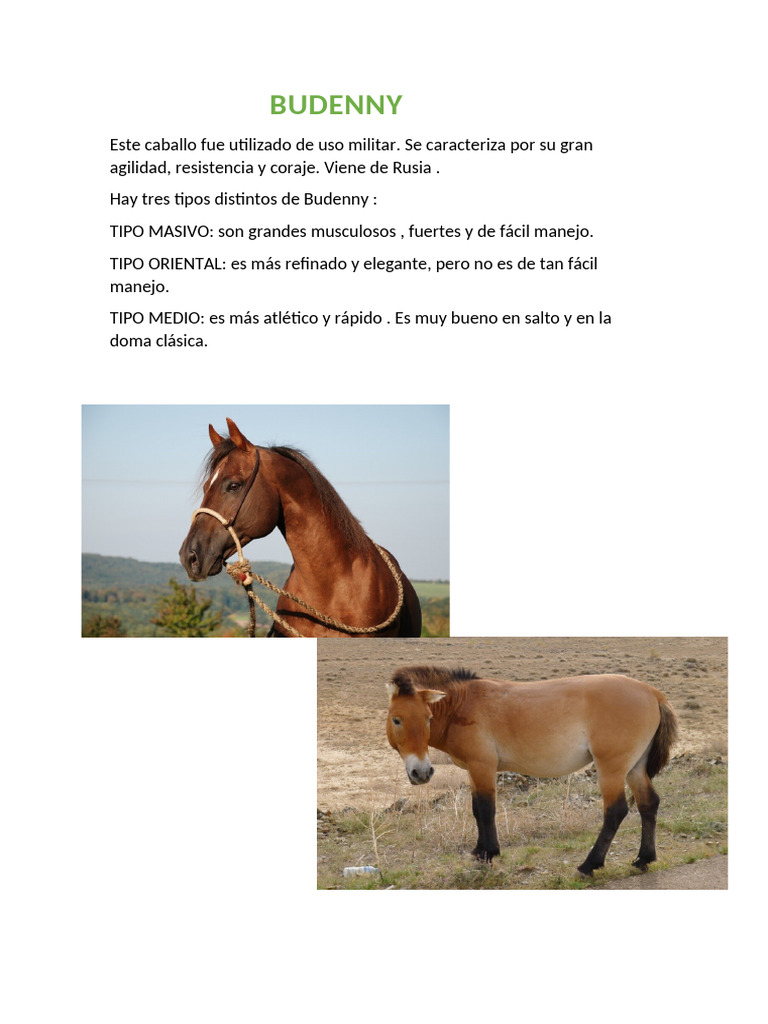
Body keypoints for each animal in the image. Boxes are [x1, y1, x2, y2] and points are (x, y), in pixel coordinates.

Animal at [385, 666, 679, 875]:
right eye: (396, 719)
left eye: (428, 718)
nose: (421, 773)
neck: (464, 704)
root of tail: (653, 692)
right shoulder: (473, 770)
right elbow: (476, 810)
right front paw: (479, 851)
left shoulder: (482, 767)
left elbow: (486, 810)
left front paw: (489, 853)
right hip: (635, 768)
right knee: (648, 803)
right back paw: (643, 859)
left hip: (612, 769)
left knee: (615, 811)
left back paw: (589, 865)